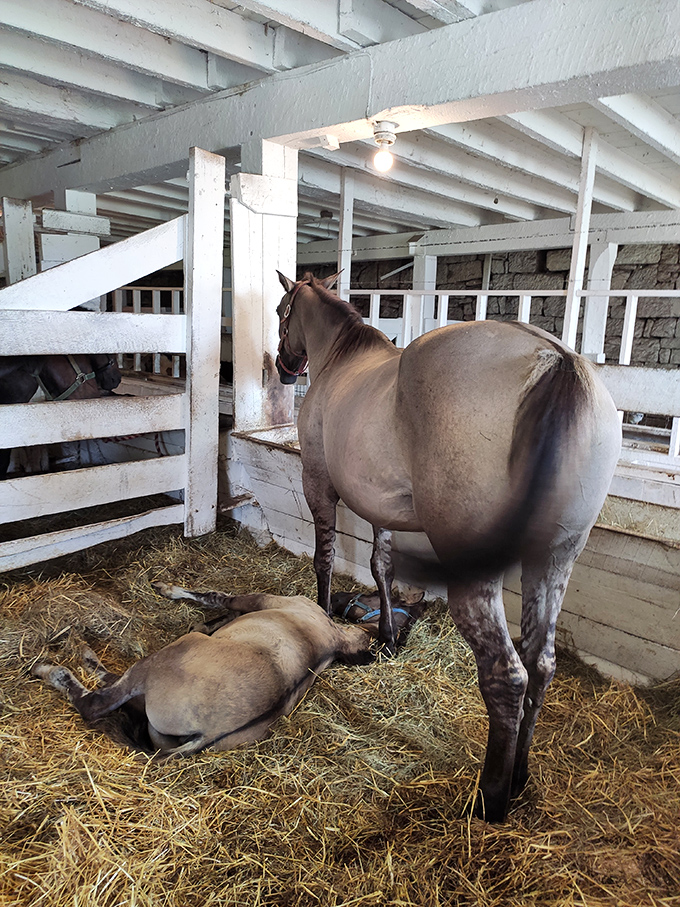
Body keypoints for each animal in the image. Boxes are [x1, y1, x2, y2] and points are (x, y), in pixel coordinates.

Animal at [33, 582, 376, 757]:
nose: (338, 596)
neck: (334, 636)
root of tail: (209, 733)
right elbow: (218, 617)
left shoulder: (259, 600)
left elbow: (219, 597)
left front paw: (167, 589)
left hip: (171, 654)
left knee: (97, 702)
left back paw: (59, 665)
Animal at [274, 271, 622, 822]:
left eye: (281, 310)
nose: (284, 366)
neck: (342, 360)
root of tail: (557, 360)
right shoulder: (382, 508)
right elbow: (381, 566)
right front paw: (388, 637)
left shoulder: (318, 484)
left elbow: (325, 559)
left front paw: (325, 615)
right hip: (556, 558)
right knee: (540, 663)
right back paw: (520, 775)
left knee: (507, 674)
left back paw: (493, 796)